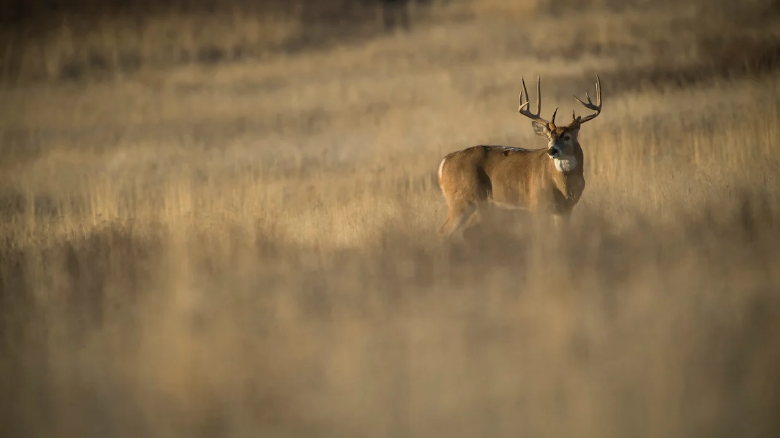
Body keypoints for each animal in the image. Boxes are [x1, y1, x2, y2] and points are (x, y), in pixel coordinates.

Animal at [437, 74, 602, 238]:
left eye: (567, 137)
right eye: (549, 137)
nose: (551, 150)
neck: (563, 185)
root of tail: (443, 164)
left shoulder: (565, 210)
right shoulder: (537, 204)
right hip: (461, 200)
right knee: (444, 231)